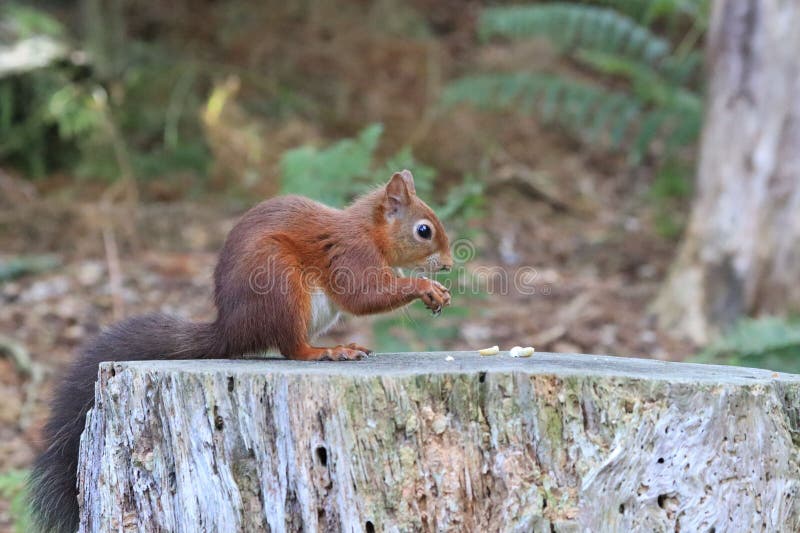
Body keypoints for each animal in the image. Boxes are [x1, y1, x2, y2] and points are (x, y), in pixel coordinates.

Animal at [29, 170, 453, 532]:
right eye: (424, 230)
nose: (448, 265)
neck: (369, 229)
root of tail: (230, 330)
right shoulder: (351, 255)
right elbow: (364, 294)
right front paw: (425, 288)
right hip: (280, 284)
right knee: (292, 348)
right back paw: (328, 352)